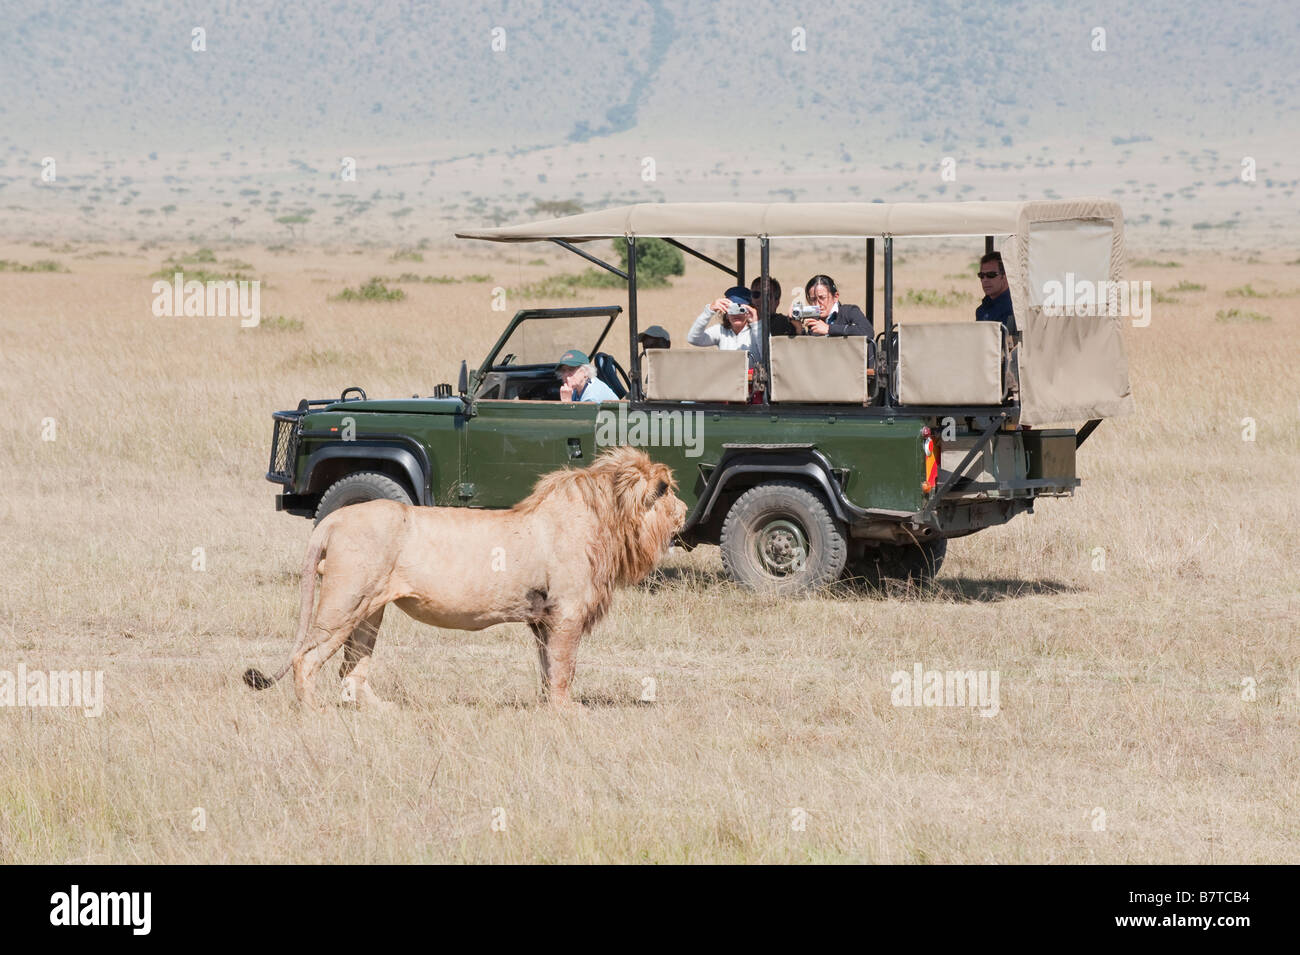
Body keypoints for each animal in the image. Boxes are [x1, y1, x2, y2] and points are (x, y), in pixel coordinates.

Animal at [243, 445, 686, 711]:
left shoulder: (544, 618)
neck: (608, 521)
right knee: (306, 658)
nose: (684, 512)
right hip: (344, 600)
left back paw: (383, 711)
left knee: (350, 668)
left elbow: (548, 668)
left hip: (369, 609)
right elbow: (564, 668)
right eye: (667, 490)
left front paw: (546, 708)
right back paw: (312, 712)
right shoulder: (567, 612)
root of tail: (331, 521)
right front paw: (566, 712)